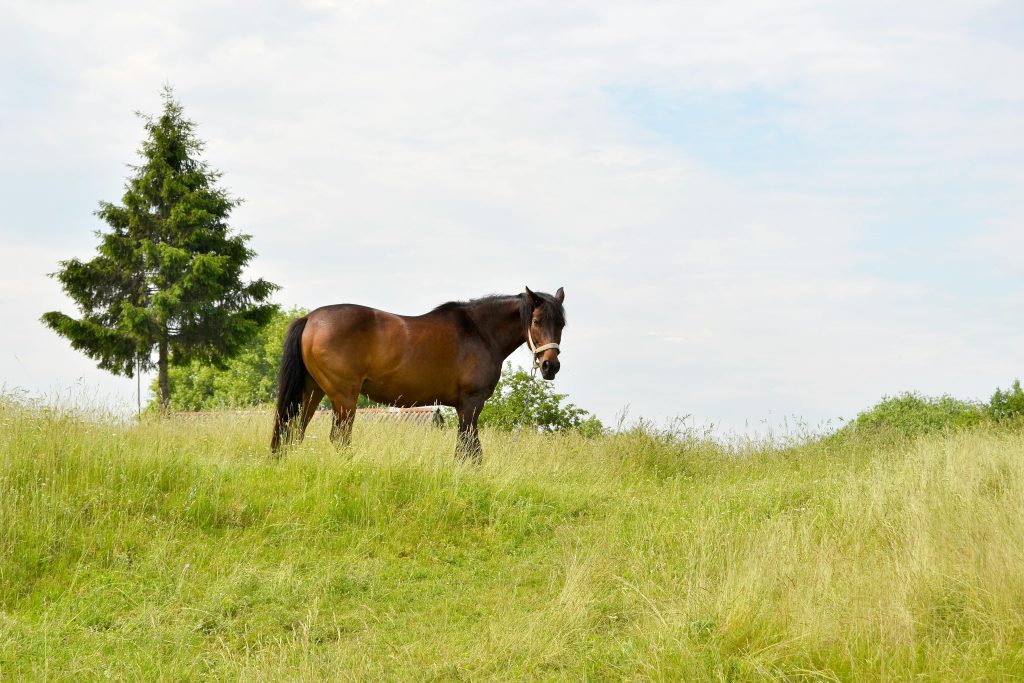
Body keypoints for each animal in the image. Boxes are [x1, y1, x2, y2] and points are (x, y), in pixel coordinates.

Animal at [271, 286, 566, 462]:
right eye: (536, 321)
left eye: (562, 323)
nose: (550, 366)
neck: (479, 331)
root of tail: (309, 318)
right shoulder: (471, 403)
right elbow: (470, 449)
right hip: (343, 397)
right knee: (339, 438)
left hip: (312, 391)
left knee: (293, 431)